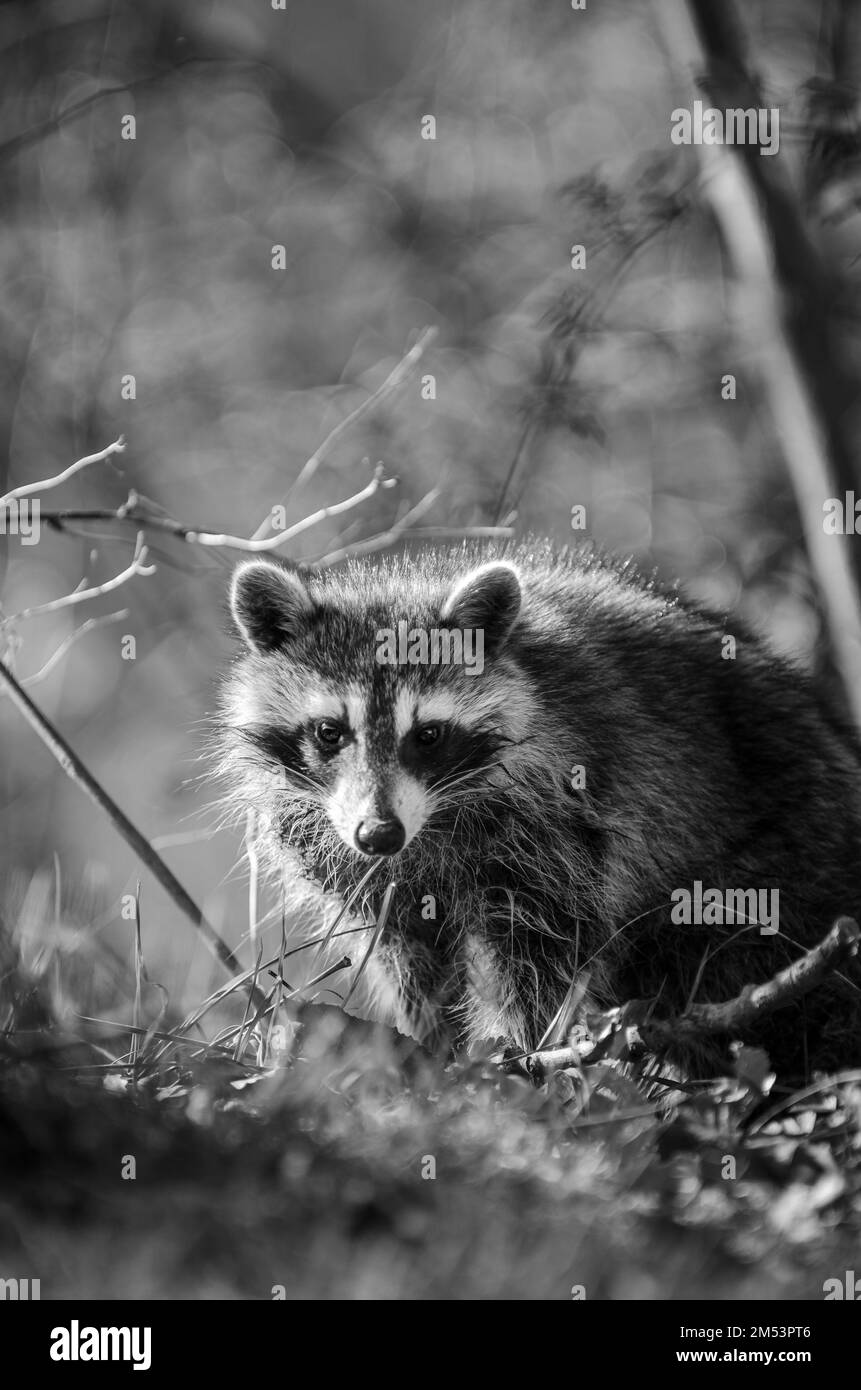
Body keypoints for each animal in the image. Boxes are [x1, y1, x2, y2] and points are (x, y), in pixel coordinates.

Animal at [218, 541, 861, 1076]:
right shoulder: (348, 857)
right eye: (330, 732)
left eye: (428, 735)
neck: (431, 823)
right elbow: (410, 955)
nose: (379, 834)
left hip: (780, 865)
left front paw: (526, 1053)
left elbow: (543, 955)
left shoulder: (562, 824)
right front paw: (433, 1041)